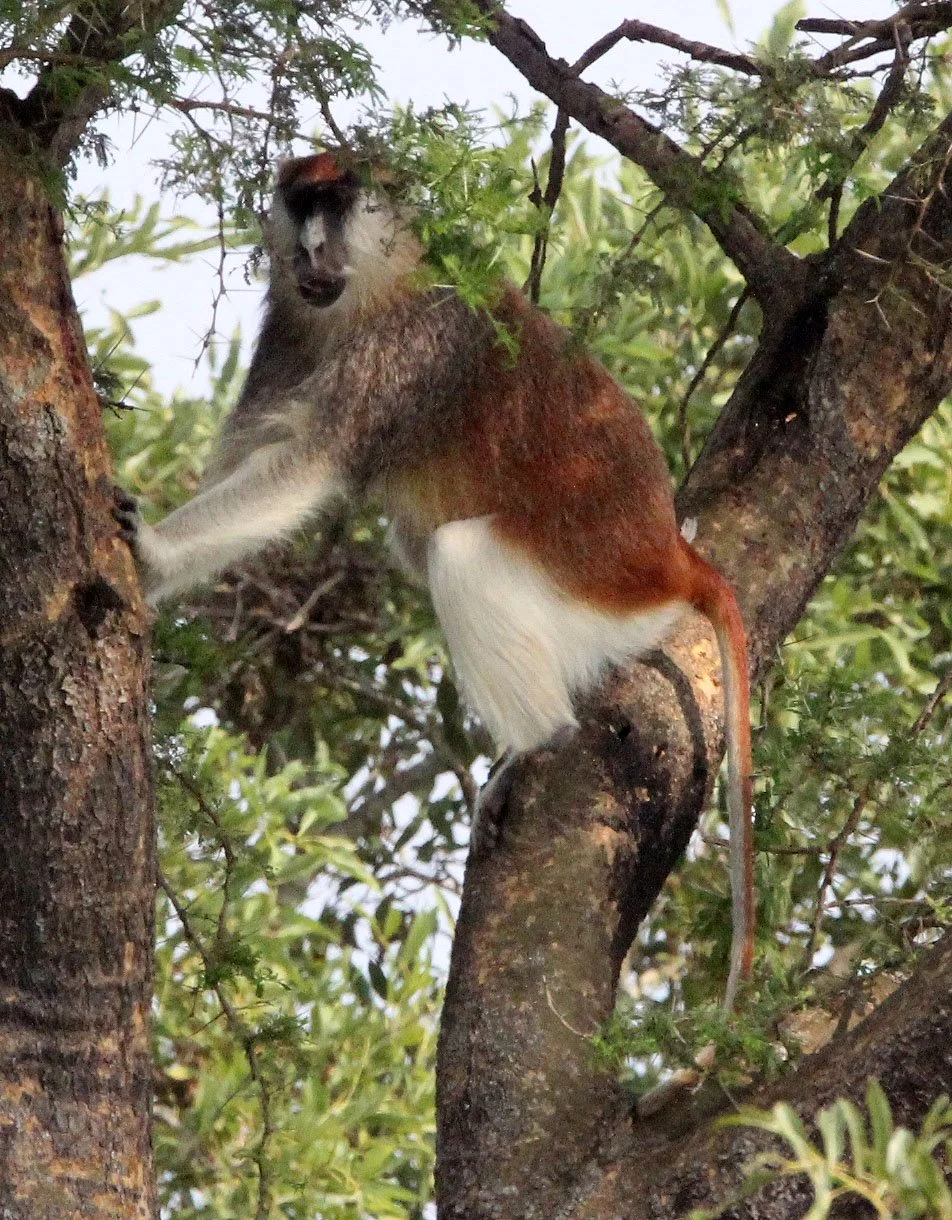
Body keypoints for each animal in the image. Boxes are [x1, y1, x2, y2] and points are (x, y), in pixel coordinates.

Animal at [116, 151, 755, 1008]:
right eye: (300, 204)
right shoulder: (290, 330)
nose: (309, 248)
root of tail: (668, 556)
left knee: (454, 554)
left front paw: (151, 553)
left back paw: (538, 742)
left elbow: (301, 468)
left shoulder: (407, 353)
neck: (389, 281)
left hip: (591, 591)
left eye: (338, 204)